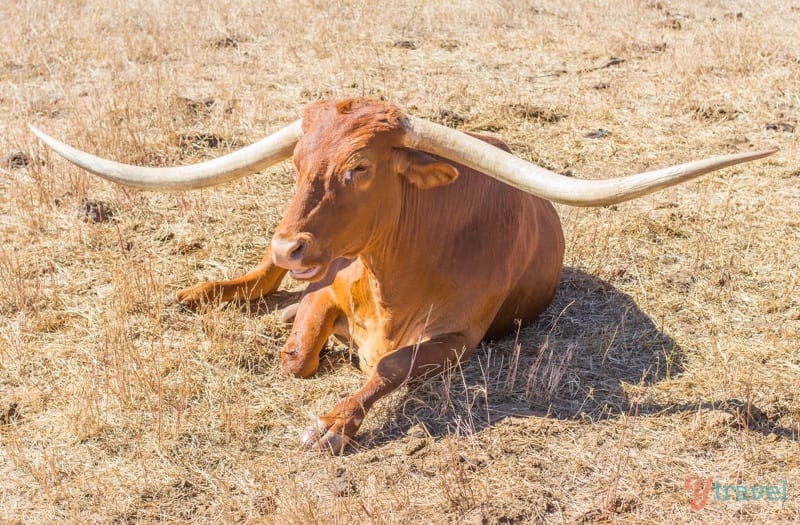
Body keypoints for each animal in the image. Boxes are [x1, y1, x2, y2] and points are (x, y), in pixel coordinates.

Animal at [31, 98, 776, 450]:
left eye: (360, 166)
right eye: (297, 161)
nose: (290, 245)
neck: (399, 275)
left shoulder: (458, 340)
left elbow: (387, 367)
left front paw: (331, 425)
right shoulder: (330, 284)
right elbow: (298, 351)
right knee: (263, 284)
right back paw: (201, 292)